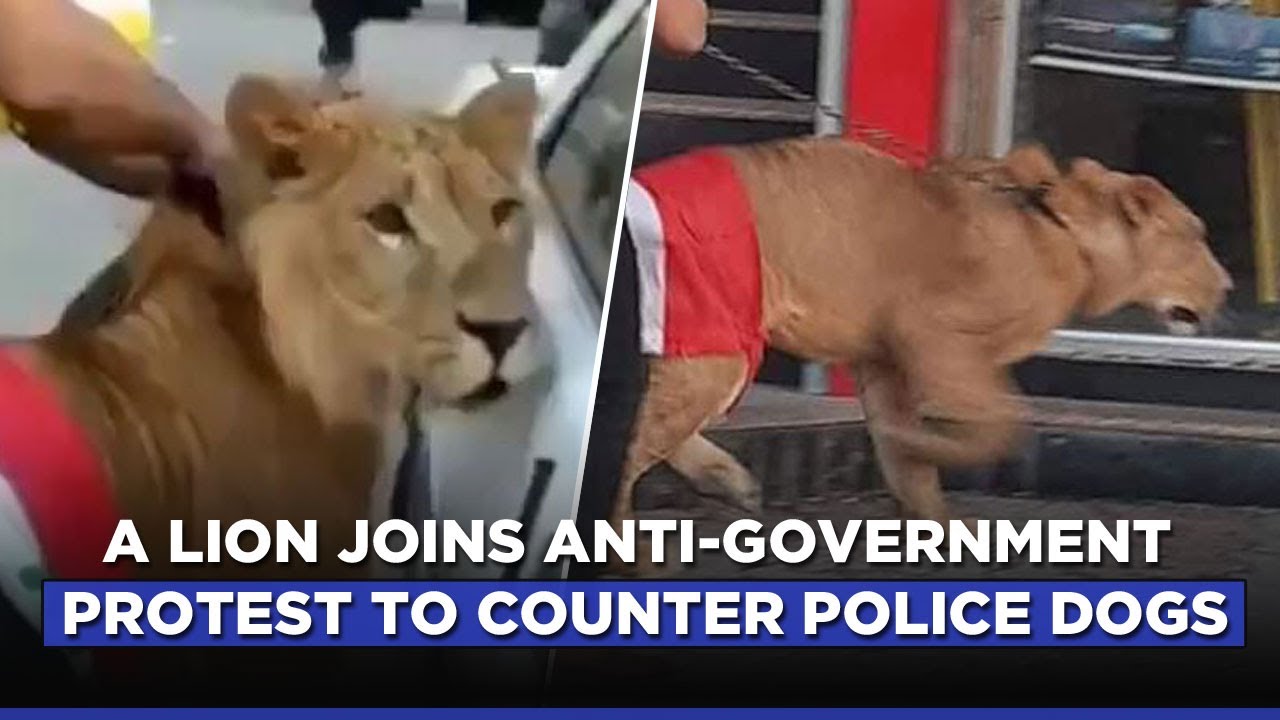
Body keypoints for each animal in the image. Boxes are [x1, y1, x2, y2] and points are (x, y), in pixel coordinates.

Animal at [612, 138, 1232, 575]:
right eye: (1194, 236)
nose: (1227, 287)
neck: (1062, 232)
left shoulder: (885, 362)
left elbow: (916, 477)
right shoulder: (932, 334)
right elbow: (1000, 426)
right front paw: (917, 445)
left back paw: (728, 479)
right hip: (716, 341)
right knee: (631, 444)